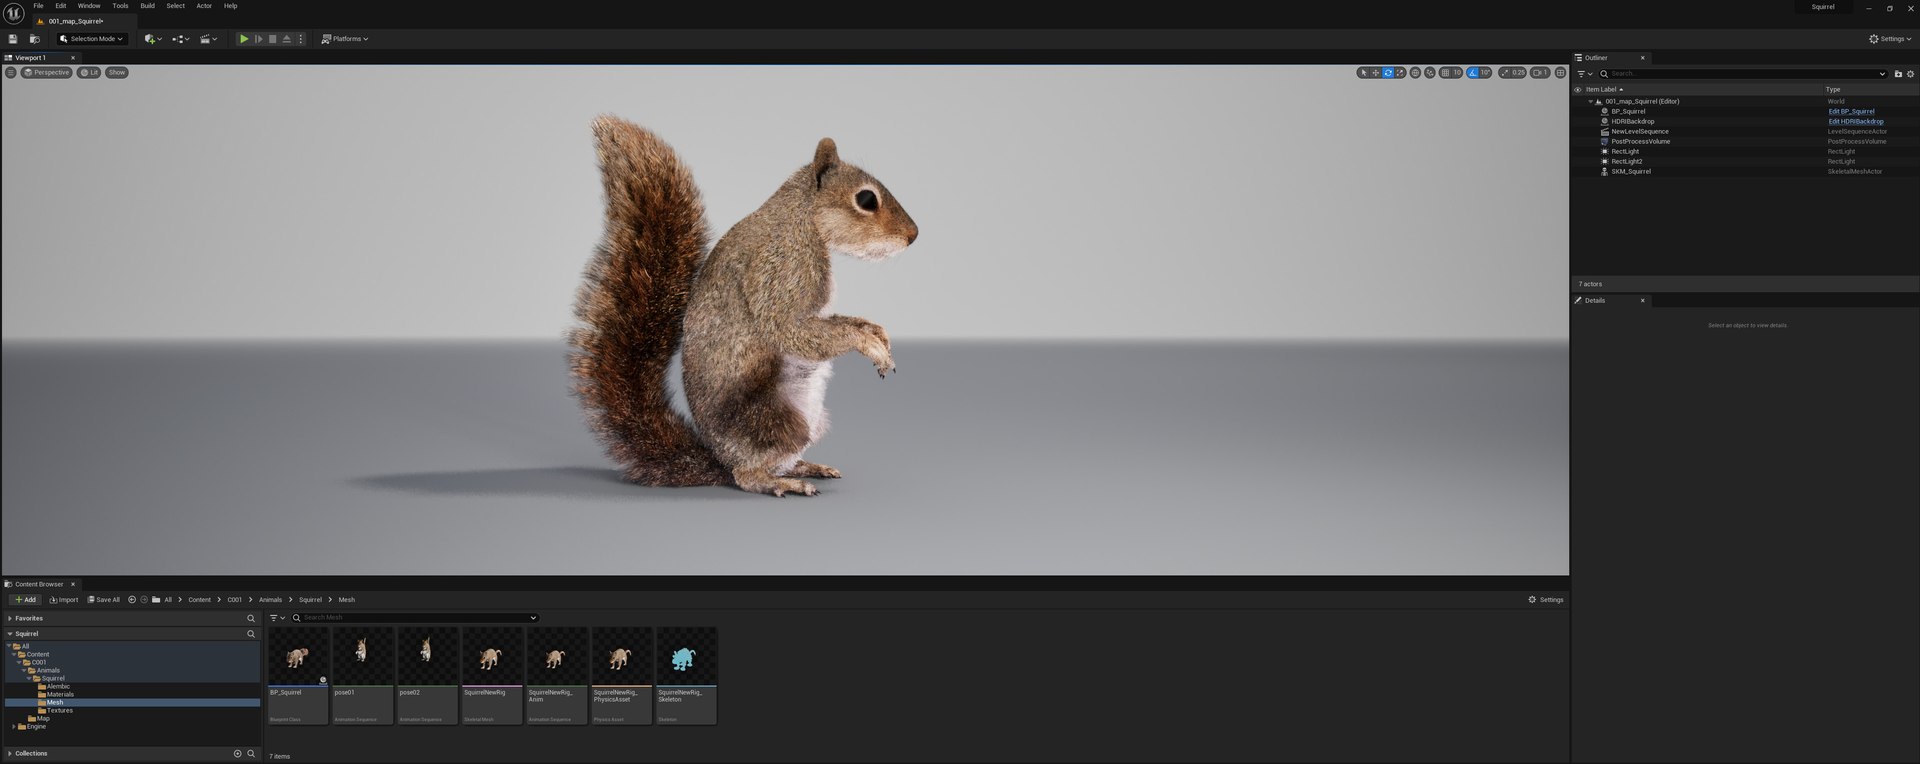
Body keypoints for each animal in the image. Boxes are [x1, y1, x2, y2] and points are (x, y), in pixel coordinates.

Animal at [569, 116, 919, 497]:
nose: (913, 235)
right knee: (746, 475)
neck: (801, 218)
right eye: (866, 199)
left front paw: (875, 332)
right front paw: (870, 346)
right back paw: (779, 482)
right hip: (777, 422)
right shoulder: (779, 269)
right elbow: (792, 330)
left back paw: (807, 466)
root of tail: (719, 459)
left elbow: (835, 322)